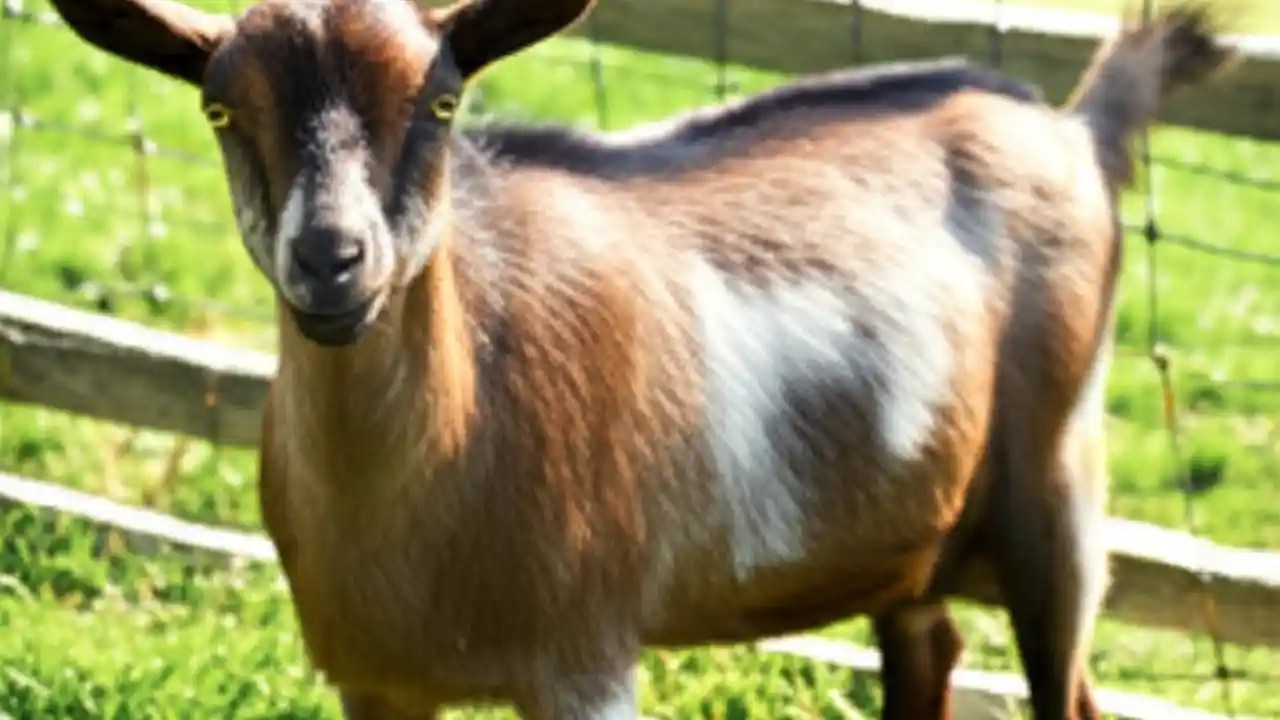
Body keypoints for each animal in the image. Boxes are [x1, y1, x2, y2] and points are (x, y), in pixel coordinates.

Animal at [47, 0, 1233, 717]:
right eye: (218, 106)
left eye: (443, 100)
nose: (333, 261)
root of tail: (1079, 128)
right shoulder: (371, 679)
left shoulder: (584, 661)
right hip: (909, 530)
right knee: (929, 650)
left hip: (1057, 483)